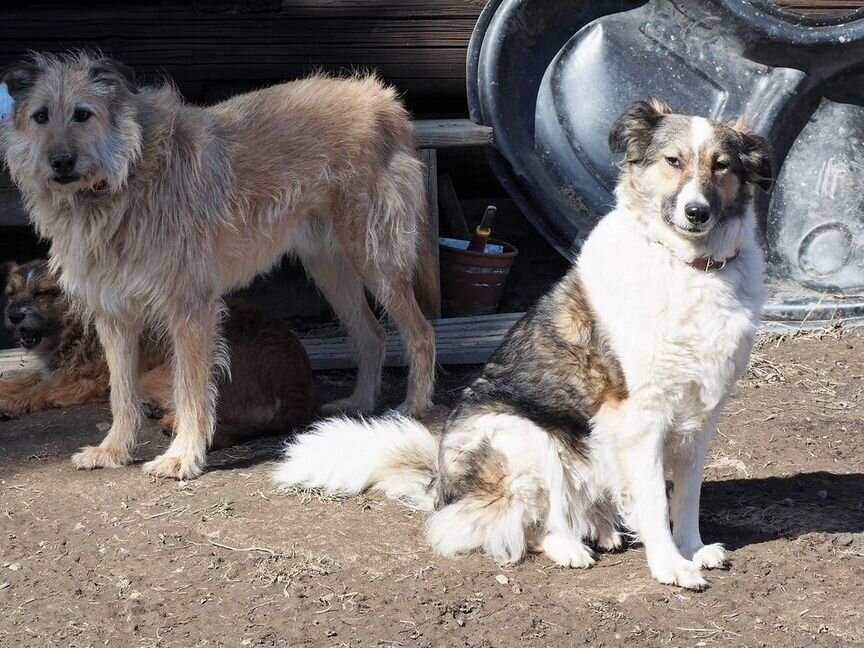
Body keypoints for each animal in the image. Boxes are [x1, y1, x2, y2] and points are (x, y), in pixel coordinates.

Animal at [1, 53, 438, 478]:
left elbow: (191, 389)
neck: (122, 175)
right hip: (330, 269)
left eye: (83, 114)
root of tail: (381, 97)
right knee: (372, 335)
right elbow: (121, 393)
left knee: (420, 332)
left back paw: (412, 408)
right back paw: (359, 403)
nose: (60, 162)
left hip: (376, 259)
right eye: (40, 116)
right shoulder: (115, 314)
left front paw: (183, 457)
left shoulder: (190, 308)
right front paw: (113, 451)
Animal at [274, 100, 772, 588]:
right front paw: (670, 565)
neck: (690, 268)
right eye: (673, 161)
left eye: (722, 166)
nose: (696, 212)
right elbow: (653, 499)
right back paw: (570, 547)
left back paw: (603, 530)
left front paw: (692, 549)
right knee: (526, 522)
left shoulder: (701, 416)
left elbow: (687, 497)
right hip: (524, 436)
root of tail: (441, 484)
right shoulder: (640, 415)